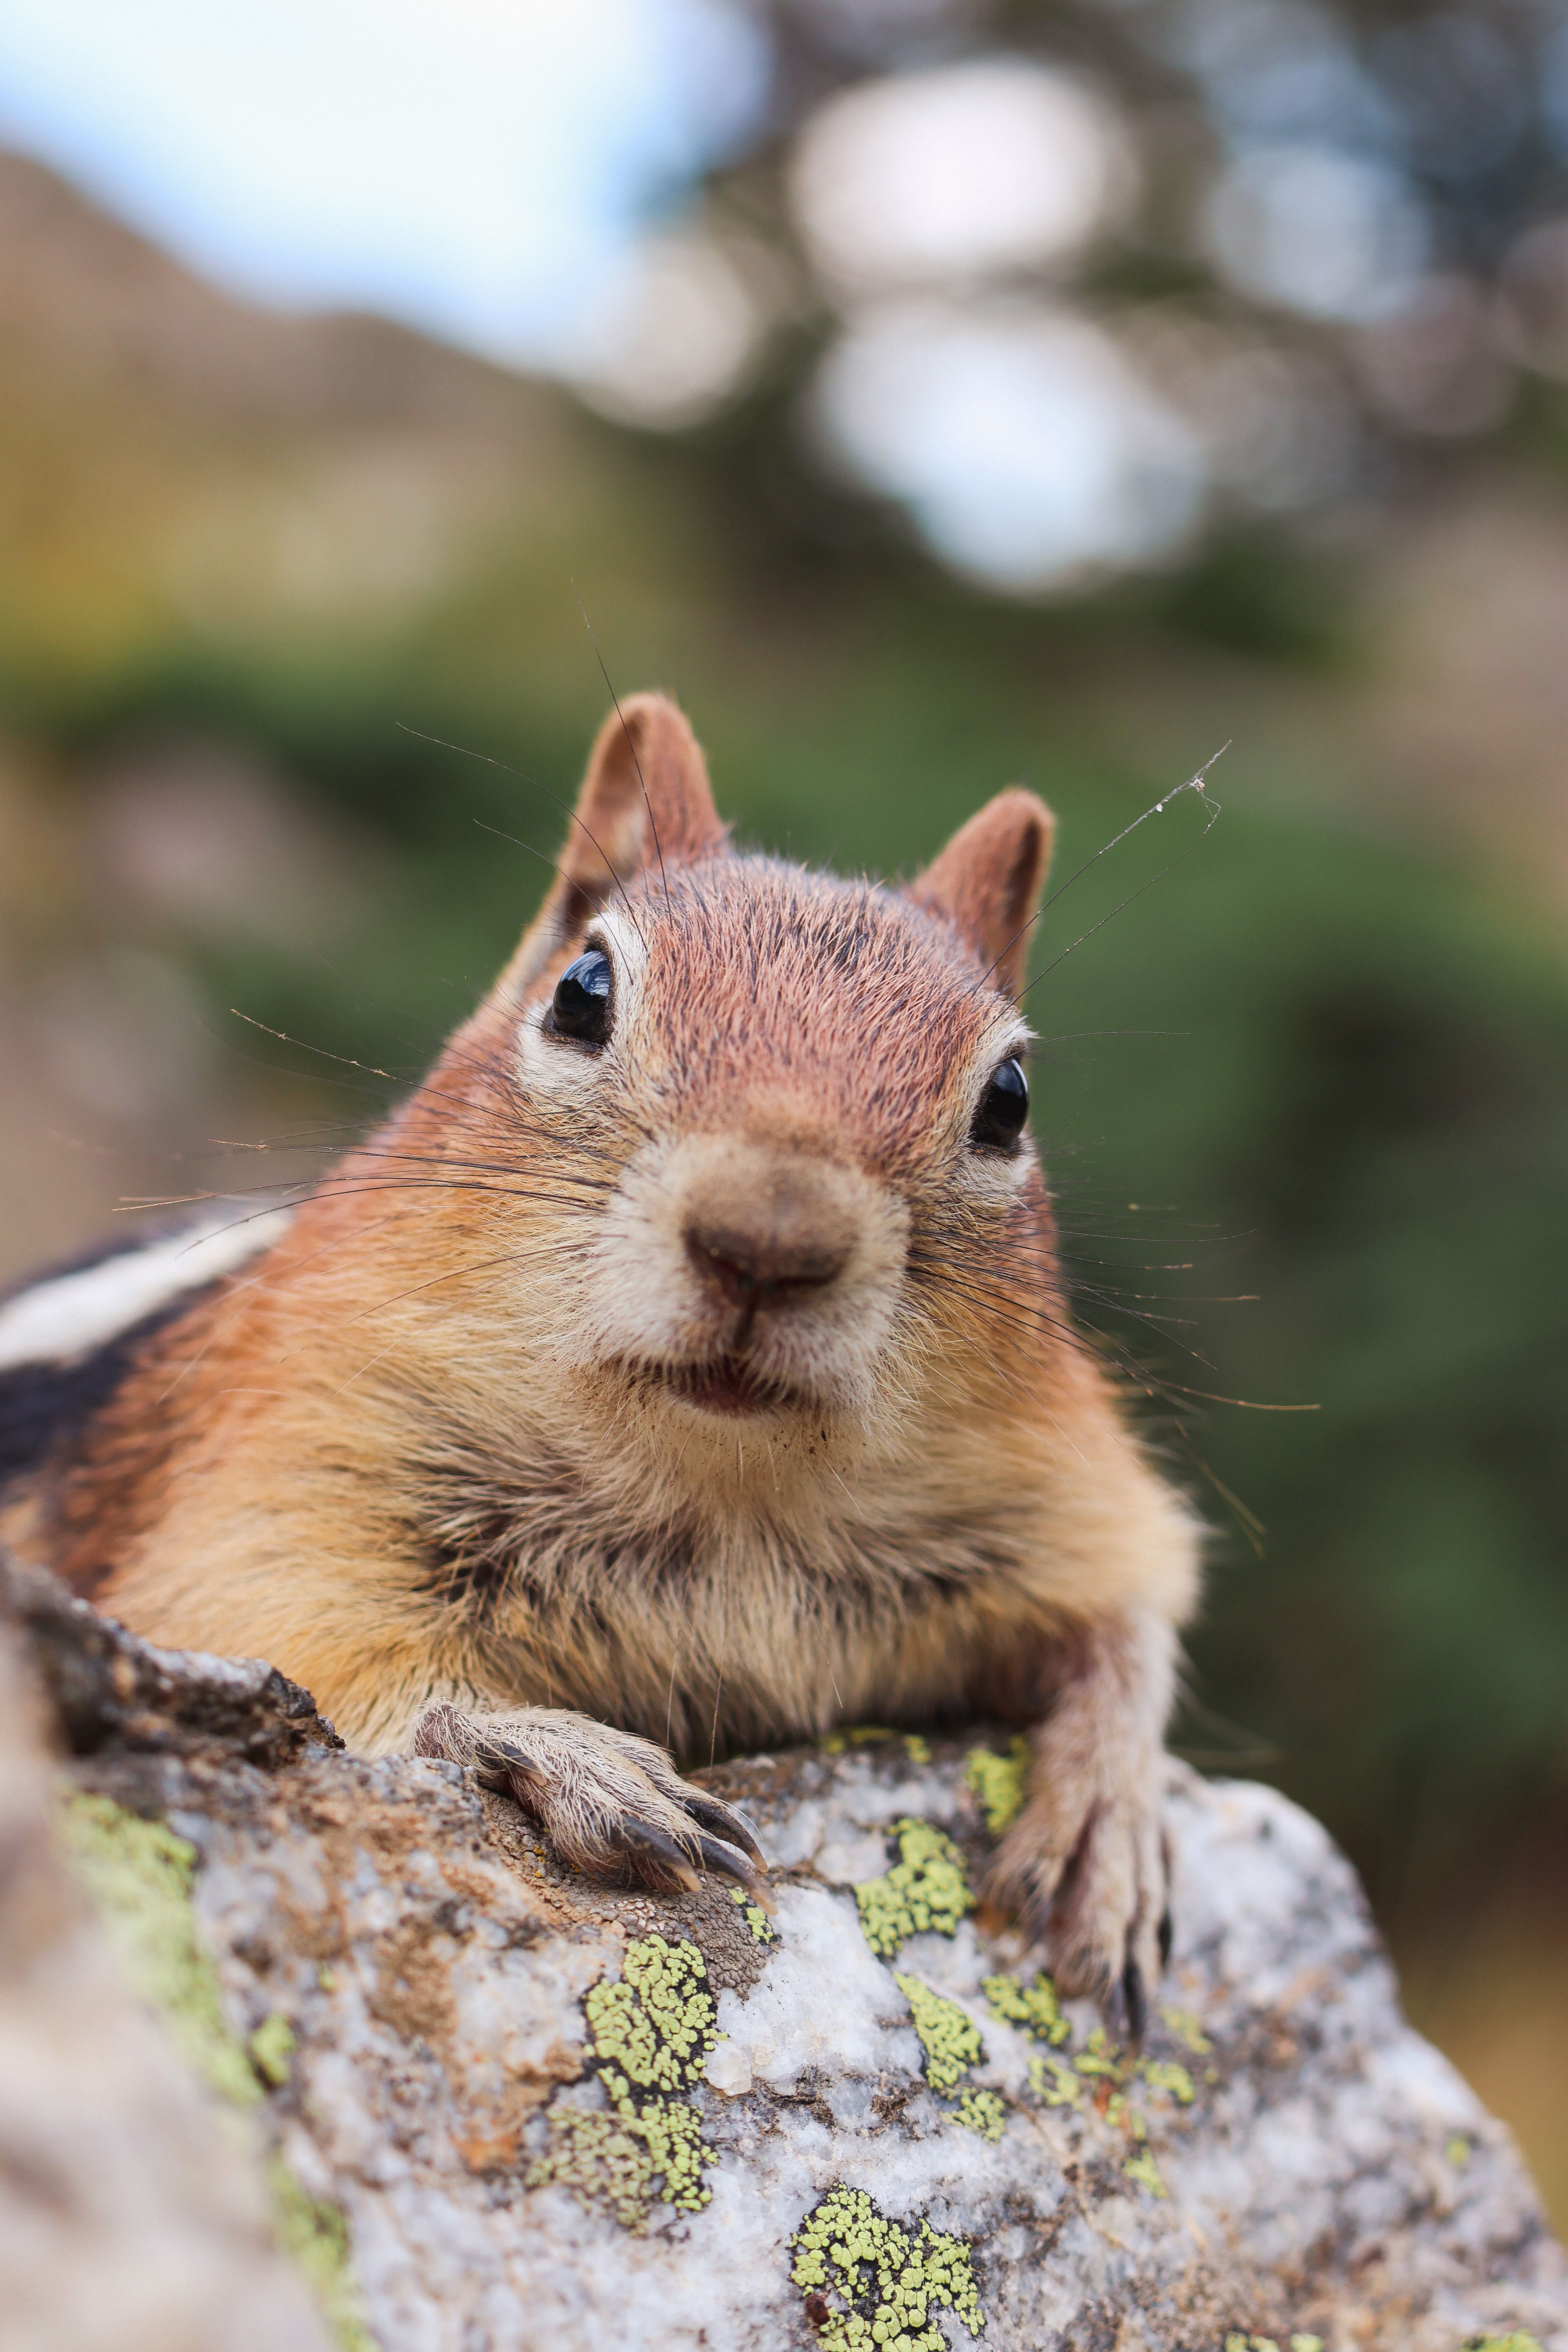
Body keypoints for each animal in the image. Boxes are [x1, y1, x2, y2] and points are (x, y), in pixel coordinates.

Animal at [0, 694, 1200, 2034]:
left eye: (1009, 1095)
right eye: (582, 989)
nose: (767, 1237)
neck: (726, 1504)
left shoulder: (1059, 1489)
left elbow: (1132, 1609)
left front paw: (1111, 1811)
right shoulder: (266, 1487)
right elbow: (308, 1655)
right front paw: (556, 1751)